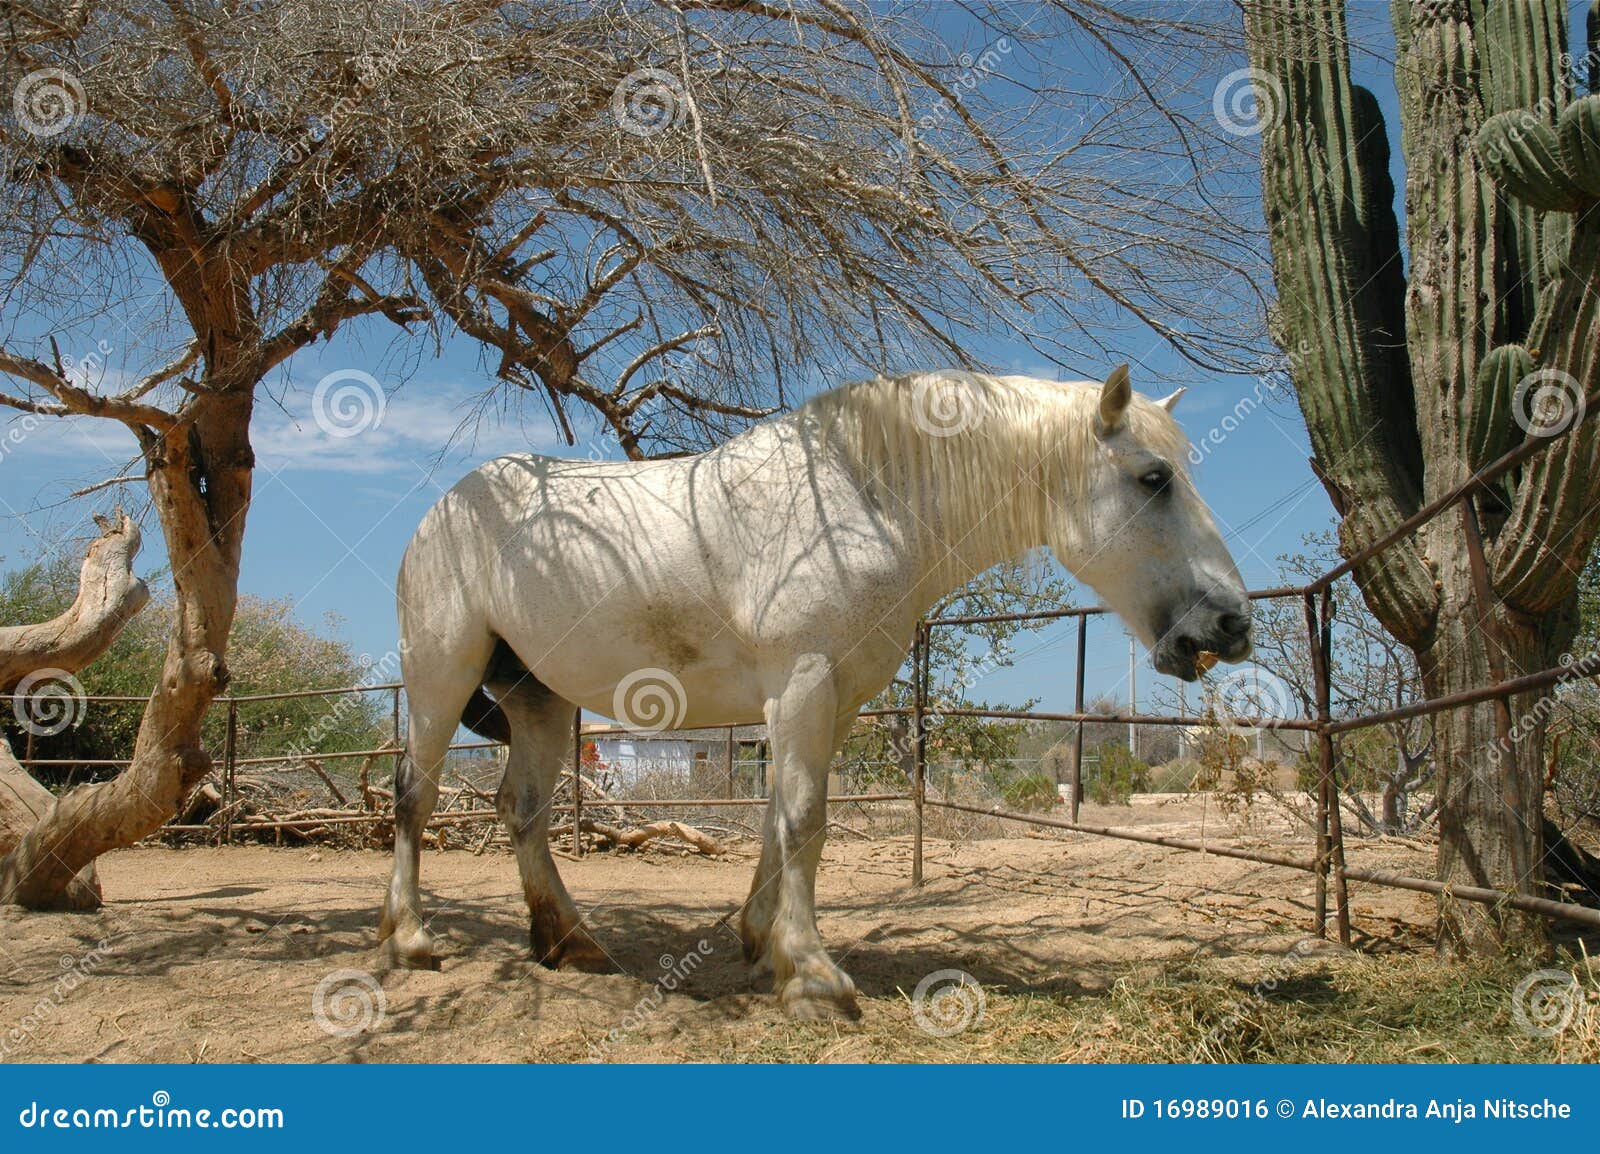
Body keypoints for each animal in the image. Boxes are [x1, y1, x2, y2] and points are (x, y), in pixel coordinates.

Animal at [379, 365, 1252, 1019]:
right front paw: (814, 977)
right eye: (1153, 478)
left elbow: (785, 820)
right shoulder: (804, 683)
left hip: (541, 699)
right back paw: (410, 939)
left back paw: (570, 943)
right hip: (439, 679)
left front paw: (764, 944)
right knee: (415, 797)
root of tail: (442, 513)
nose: (1231, 624)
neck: (862, 501)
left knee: (521, 809)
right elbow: (804, 822)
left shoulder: (833, 697)